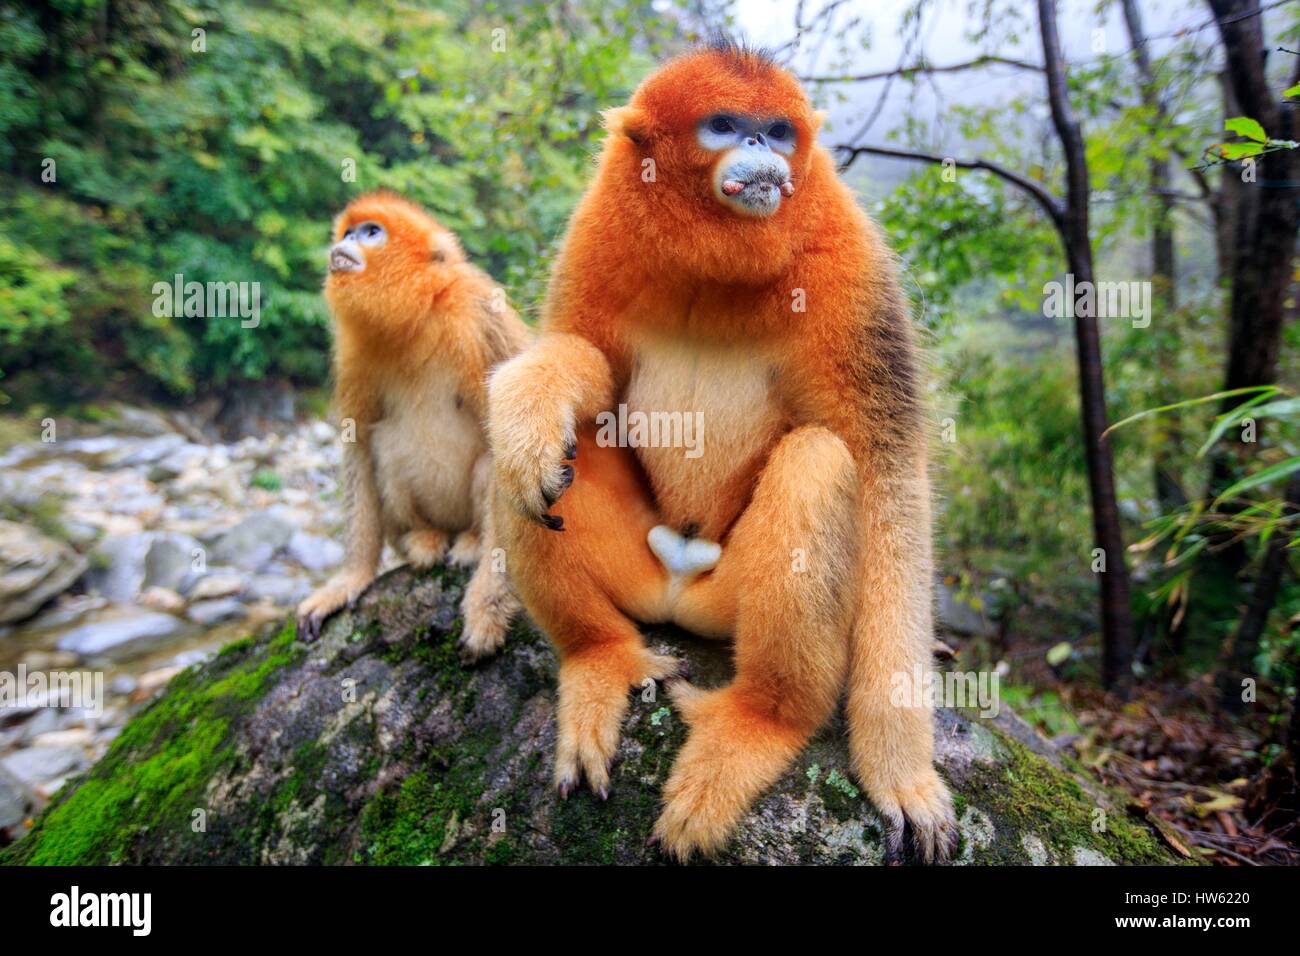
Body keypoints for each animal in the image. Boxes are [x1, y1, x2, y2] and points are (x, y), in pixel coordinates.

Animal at [297, 190, 527, 662]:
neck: (418, 316)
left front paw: (487, 607)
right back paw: (425, 540)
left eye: (371, 232)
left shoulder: (477, 312)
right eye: (349, 231)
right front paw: (350, 579)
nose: (345, 243)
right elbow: (358, 448)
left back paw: (471, 542)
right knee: (385, 450)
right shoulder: (354, 353)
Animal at [486, 41, 956, 862]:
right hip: (639, 572)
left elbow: (888, 473)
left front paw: (899, 770)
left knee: (818, 463)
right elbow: (587, 370)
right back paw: (597, 657)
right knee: (537, 473)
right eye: (726, 125)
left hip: (724, 600)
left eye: (779, 129)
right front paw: (532, 407)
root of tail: (678, 581)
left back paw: (759, 725)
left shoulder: (847, 258)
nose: (763, 146)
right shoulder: (601, 226)